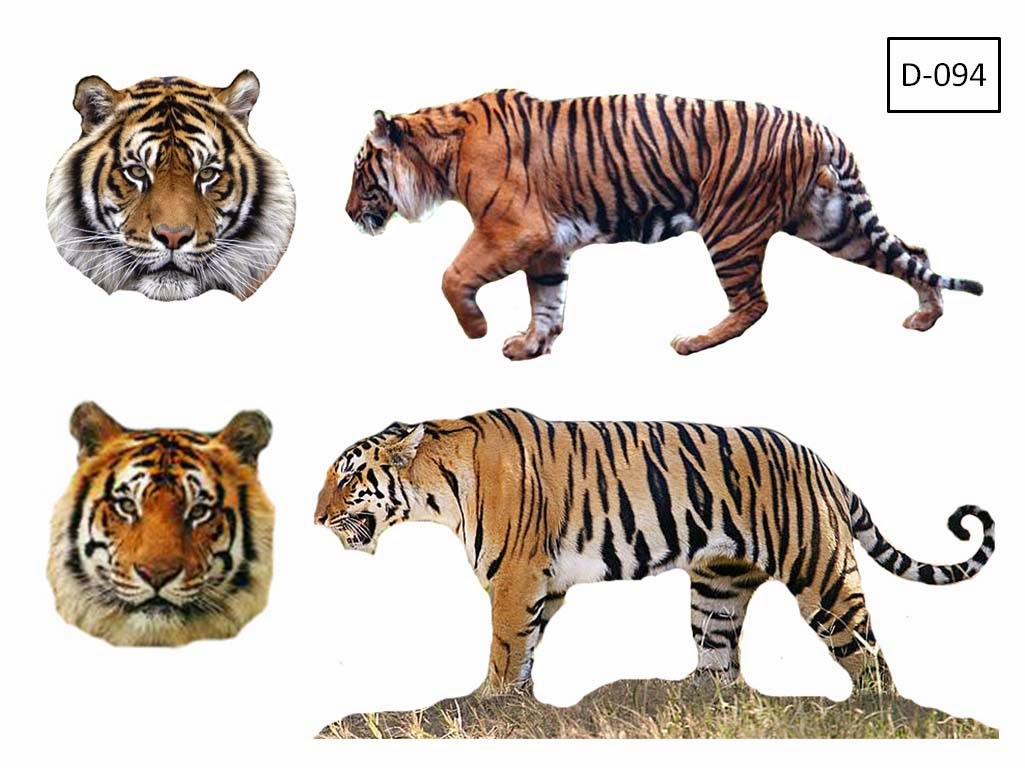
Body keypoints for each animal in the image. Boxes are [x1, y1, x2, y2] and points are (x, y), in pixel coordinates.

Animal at [315, 408, 994, 694]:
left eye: (346, 480)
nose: (316, 519)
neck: (435, 486)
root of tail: (825, 465)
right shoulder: (544, 584)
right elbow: (527, 649)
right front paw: (517, 708)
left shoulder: (515, 578)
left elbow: (505, 649)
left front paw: (485, 706)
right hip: (716, 590)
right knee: (720, 666)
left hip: (823, 577)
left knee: (869, 656)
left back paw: (880, 718)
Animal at [346, 91, 983, 360]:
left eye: (359, 172)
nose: (349, 215)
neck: (439, 157)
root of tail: (817, 126)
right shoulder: (547, 245)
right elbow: (547, 299)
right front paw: (531, 346)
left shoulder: (513, 231)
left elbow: (452, 277)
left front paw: (477, 331)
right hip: (831, 223)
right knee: (915, 251)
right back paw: (927, 317)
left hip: (730, 226)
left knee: (754, 302)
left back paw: (694, 343)